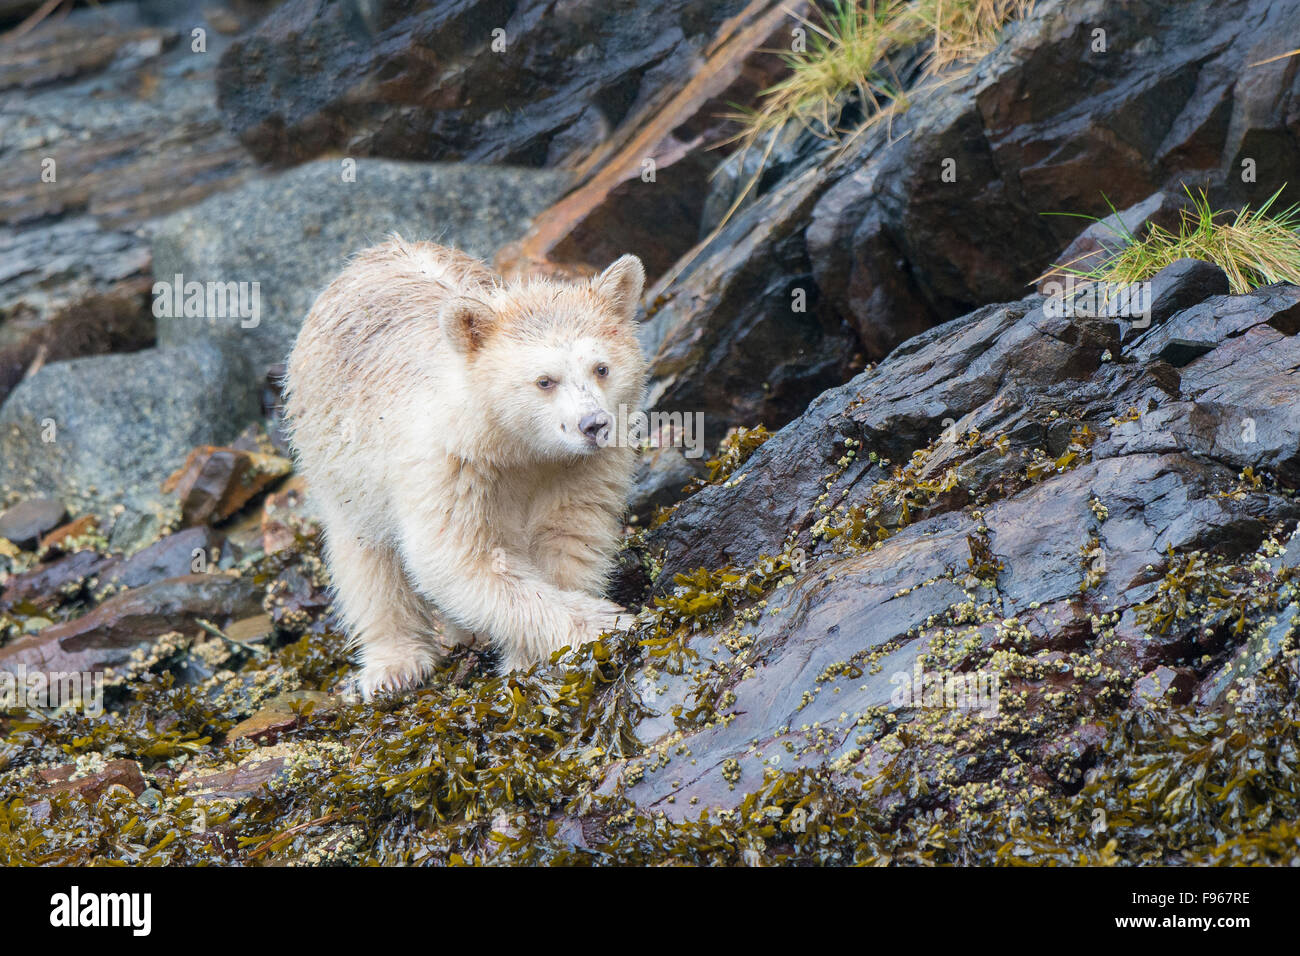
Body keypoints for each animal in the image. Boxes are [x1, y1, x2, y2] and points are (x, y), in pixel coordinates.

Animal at [284, 236, 647, 698]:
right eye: (544, 380)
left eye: (601, 367)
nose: (594, 425)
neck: (513, 445)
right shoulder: (448, 466)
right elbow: (461, 561)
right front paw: (603, 624)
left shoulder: (577, 467)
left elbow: (568, 536)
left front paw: (531, 657)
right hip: (337, 457)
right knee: (366, 556)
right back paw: (395, 663)